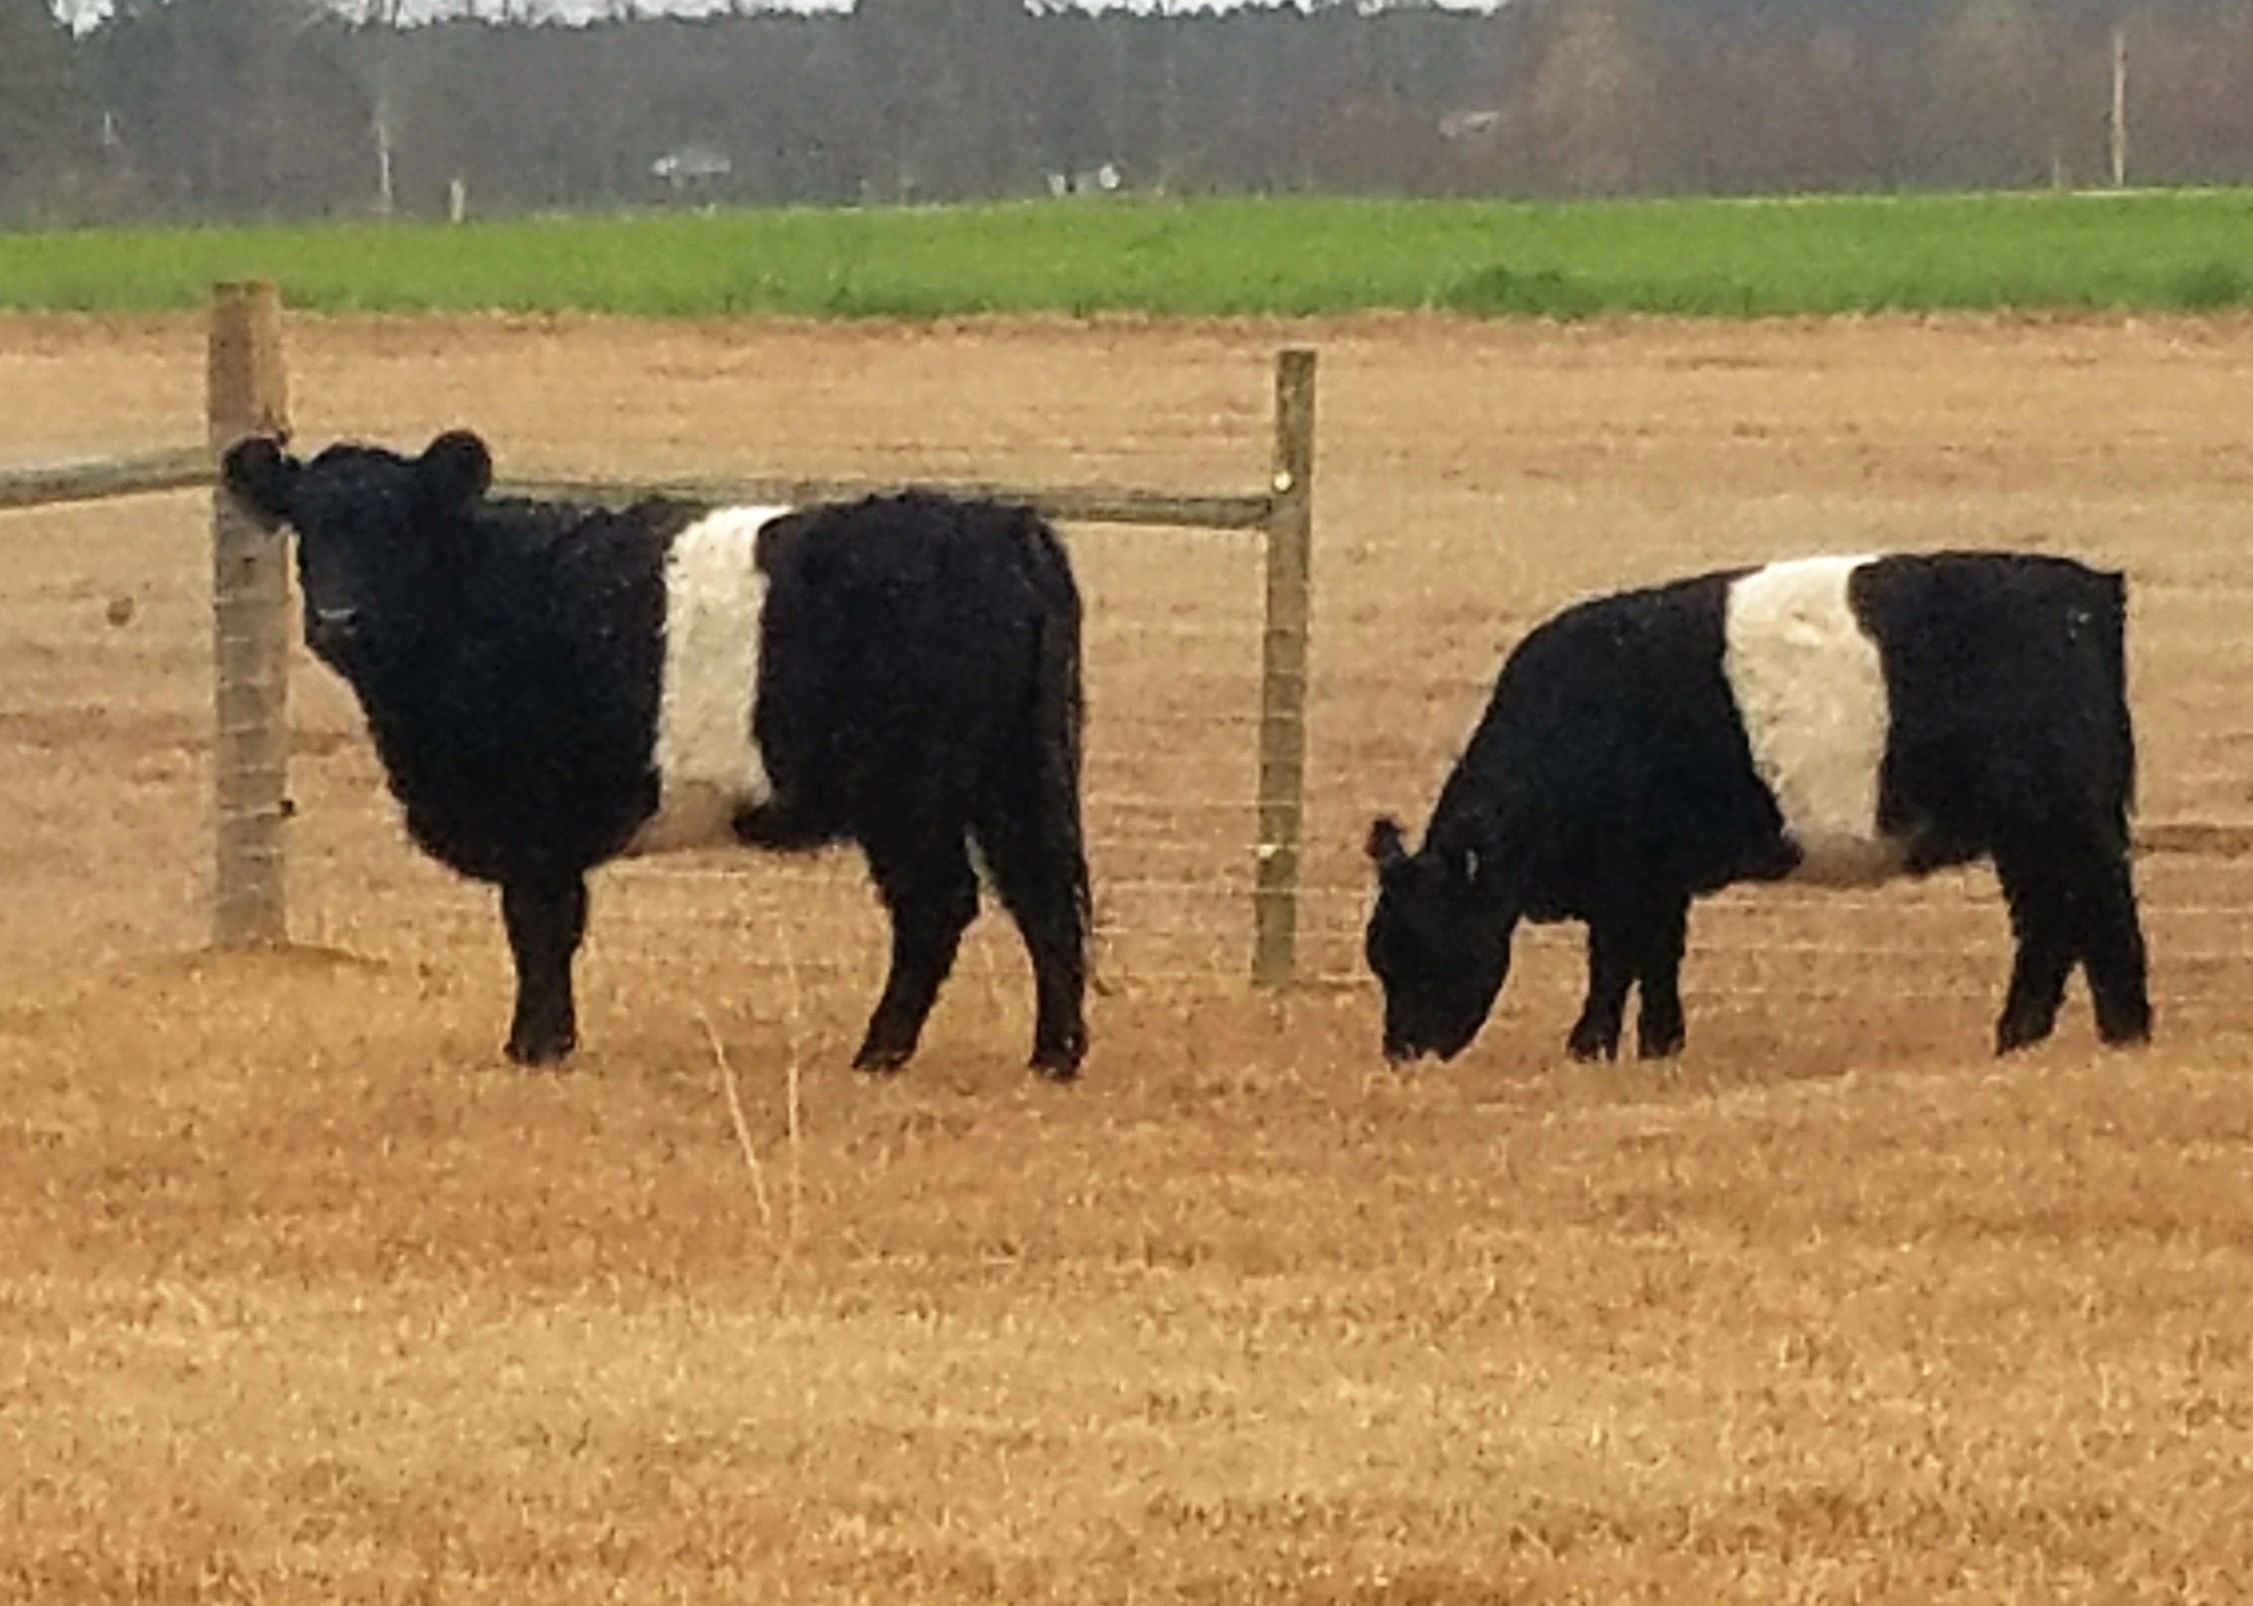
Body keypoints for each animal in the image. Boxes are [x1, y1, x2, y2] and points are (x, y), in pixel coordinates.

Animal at [220, 429, 1090, 1079]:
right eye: (305, 526)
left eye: (400, 526)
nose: (338, 619)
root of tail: (1002, 525)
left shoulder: (535, 823)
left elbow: (540, 929)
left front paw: (535, 1047)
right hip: (1007, 777)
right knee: (1040, 898)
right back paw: (1051, 1054)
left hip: (912, 796)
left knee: (940, 906)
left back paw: (881, 1052)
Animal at [1364, 552, 2152, 1065]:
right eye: (1379, 955)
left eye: (1425, 940)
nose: (1404, 1053)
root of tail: (2089, 591)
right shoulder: (1656, 883)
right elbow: (1656, 960)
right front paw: (1657, 1047)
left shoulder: (1630, 882)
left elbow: (1617, 962)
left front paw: (1589, 1048)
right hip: (2028, 835)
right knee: (2051, 926)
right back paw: (2019, 1040)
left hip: (2061, 823)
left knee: (2098, 918)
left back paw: (2123, 1035)